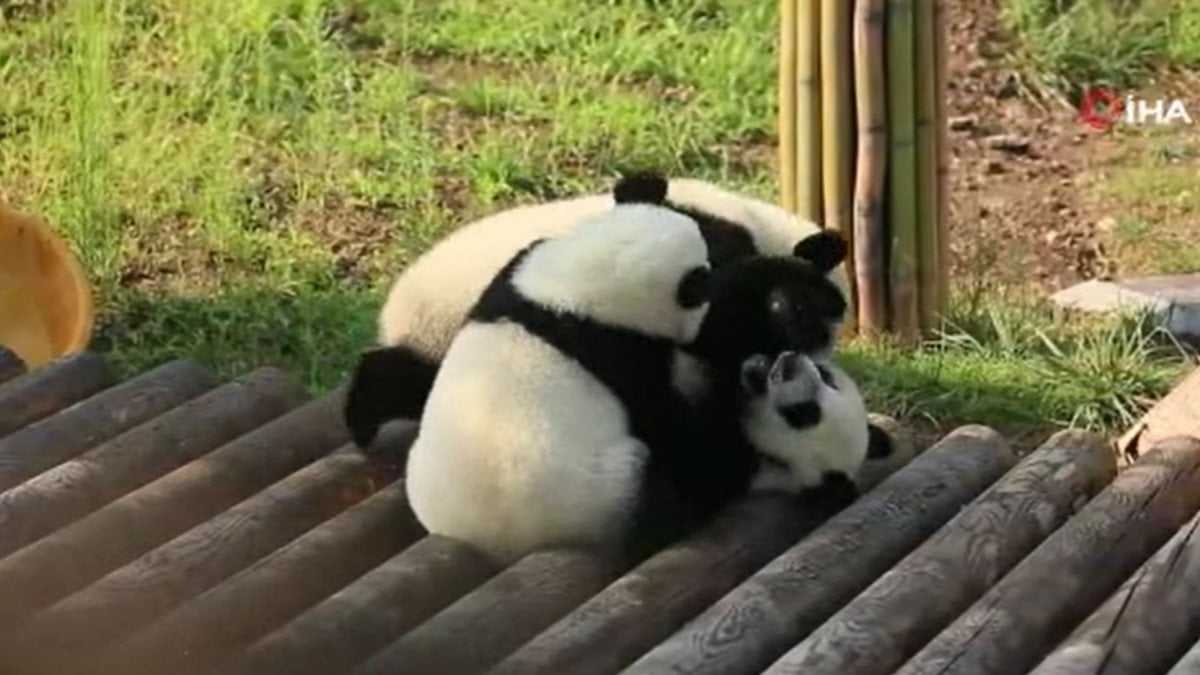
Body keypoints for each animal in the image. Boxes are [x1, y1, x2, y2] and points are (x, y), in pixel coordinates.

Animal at [405, 202, 757, 564]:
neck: (575, 296)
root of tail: (496, 544)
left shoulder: (511, 279)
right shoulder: (628, 357)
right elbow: (676, 427)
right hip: (605, 492)